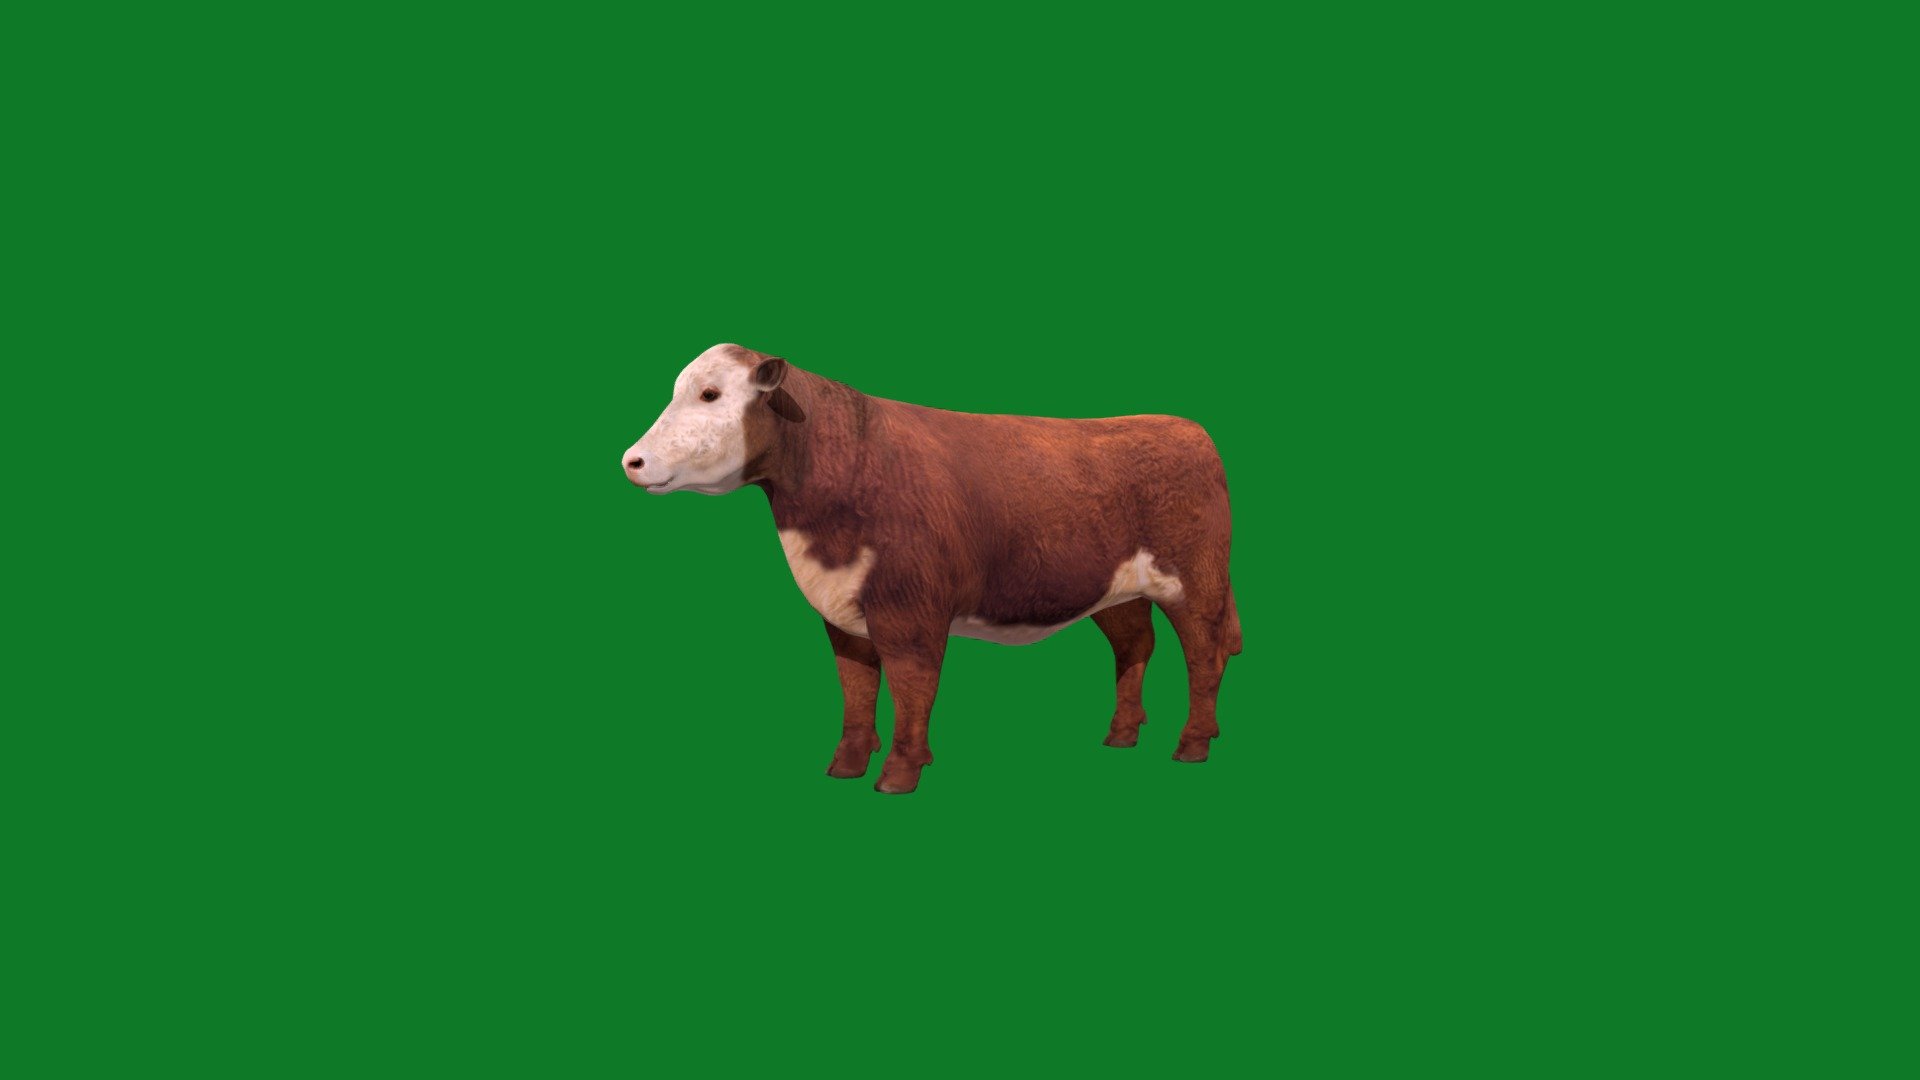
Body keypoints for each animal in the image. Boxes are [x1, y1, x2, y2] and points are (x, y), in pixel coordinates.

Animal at [622, 343, 1241, 794]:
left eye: (710, 393)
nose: (632, 460)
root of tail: (1183, 427)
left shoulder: (909, 610)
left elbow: (911, 686)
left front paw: (899, 773)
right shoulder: (844, 612)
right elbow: (856, 689)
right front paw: (846, 767)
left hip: (1196, 580)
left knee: (1204, 656)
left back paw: (1193, 745)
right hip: (1117, 590)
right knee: (1135, 646)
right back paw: (1121, 735)